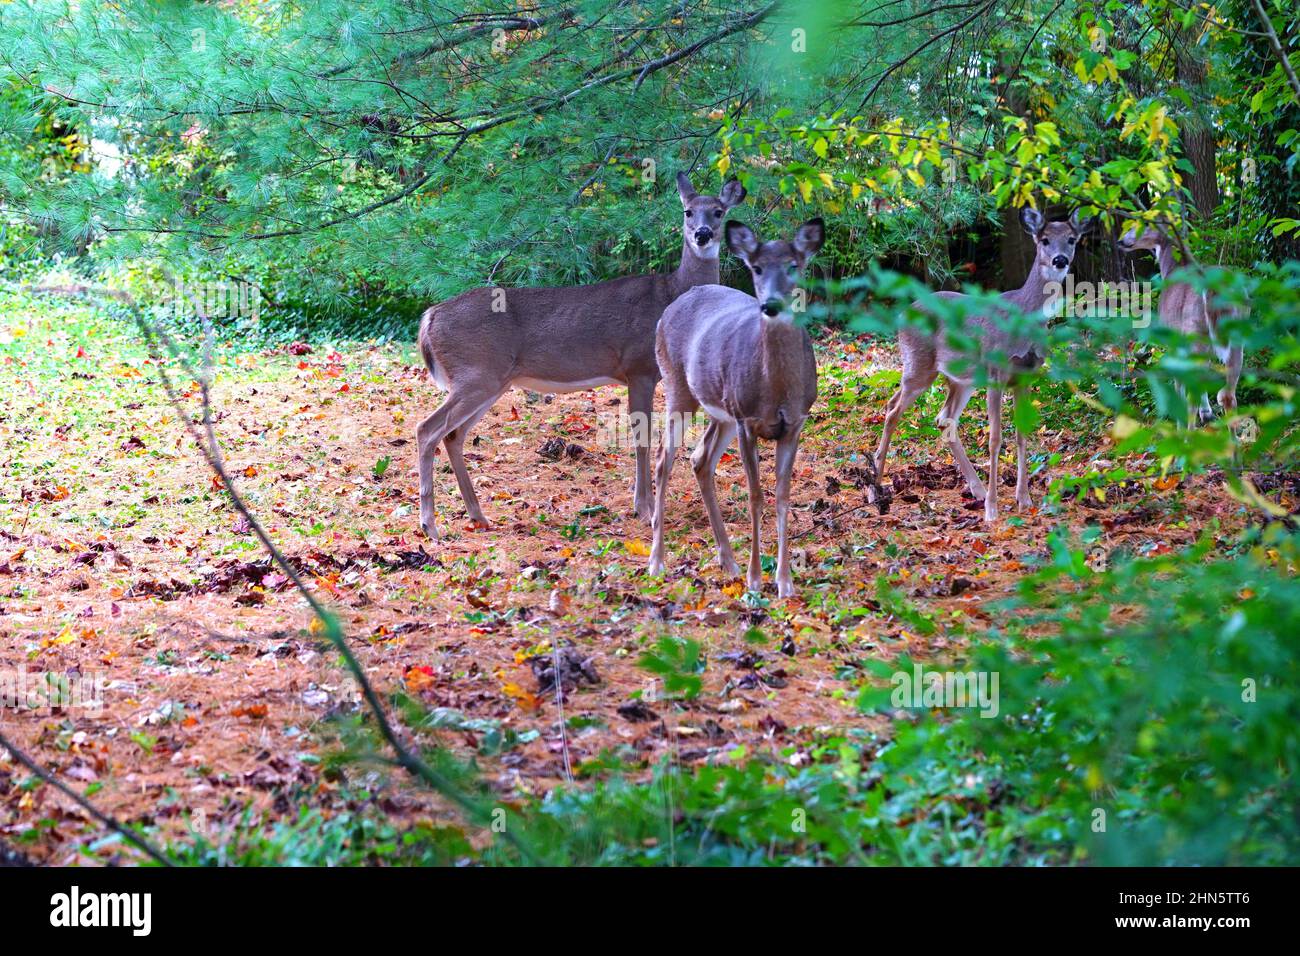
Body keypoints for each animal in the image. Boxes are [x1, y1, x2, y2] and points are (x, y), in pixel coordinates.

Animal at [415, 173, 746, 539]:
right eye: (688, 211)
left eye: (718, 212)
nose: (702, 234)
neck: (670, 293)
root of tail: (429, 317)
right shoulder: (639, 367)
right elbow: (641, 438)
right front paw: (644, 509)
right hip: (476, 374)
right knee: (427, 429)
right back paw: (430, 525)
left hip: (491, 381)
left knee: (453, 435)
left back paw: (478, 515)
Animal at [648, 218, 824, 598]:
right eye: (755, 268)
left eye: (794, 265)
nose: (770, 305)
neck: (777, 389)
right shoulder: (747, 420)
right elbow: (756, 495)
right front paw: (756, 580)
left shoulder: (795, 424)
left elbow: (783, 495)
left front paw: (785, 582)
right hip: (677, 388)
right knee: (663, 459)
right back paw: (656, 561)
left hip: (720, 410)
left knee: (700, 459)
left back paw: (727, 561)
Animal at [873, 206, 1095, 523]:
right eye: (1044, 239)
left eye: (1072, 239)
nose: (1060, 260)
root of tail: (903, 315)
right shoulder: (996, 371)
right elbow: (995, 438)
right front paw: (993, 509)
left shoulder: (1025, 376)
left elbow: (1022, 435)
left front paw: (1023, 499)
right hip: (919, 364)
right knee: (892, 410)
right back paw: (877, 484)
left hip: (961, 378)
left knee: (943, 417)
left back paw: (975, 489)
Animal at [1116, 221, 1244, 425]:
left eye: (1143, 222)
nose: (1121, 241)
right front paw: (1207, 413)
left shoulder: (1174, 340)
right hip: (1236, 331)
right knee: (1227, 394)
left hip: (1195, 331)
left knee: (1194, 396)